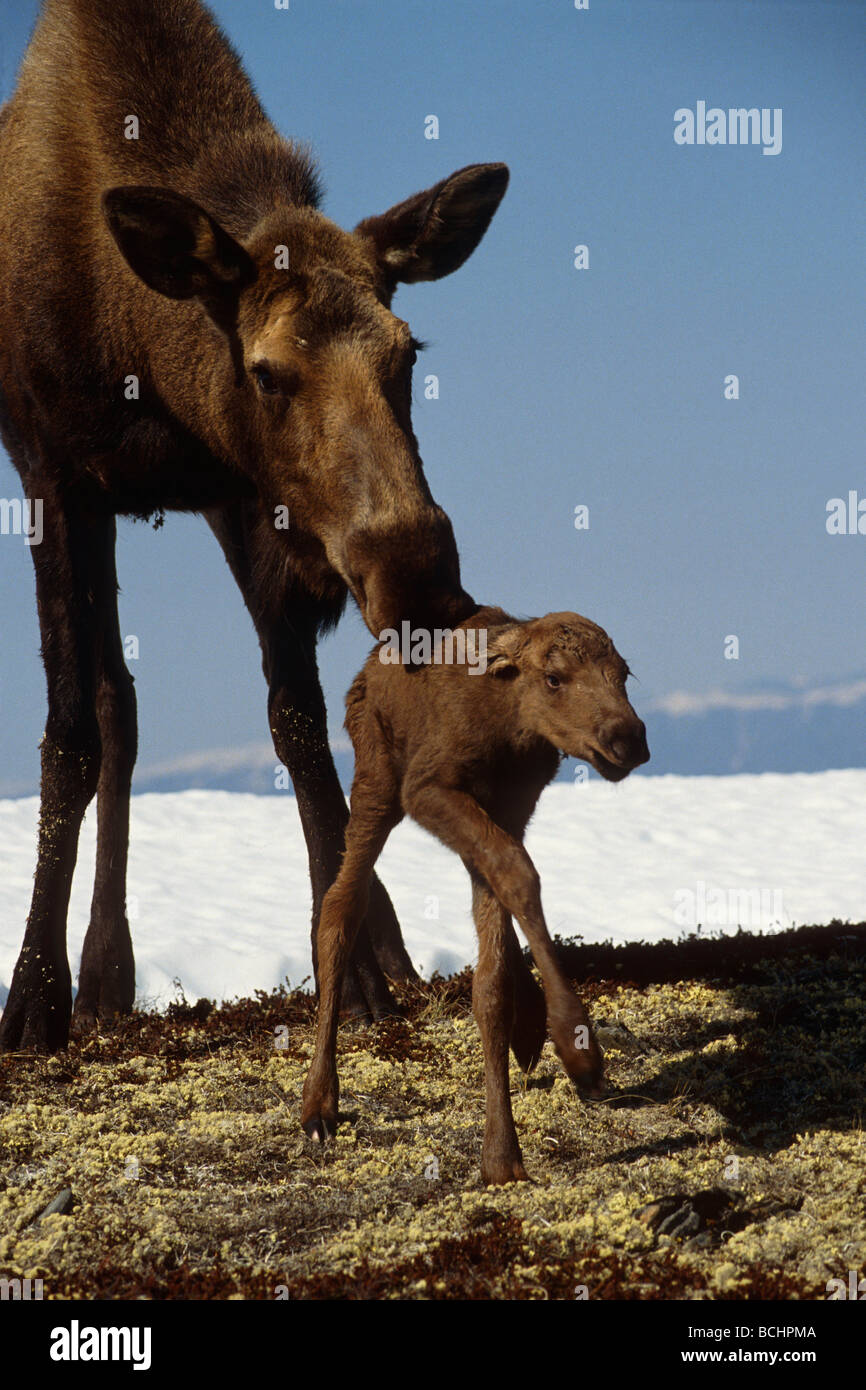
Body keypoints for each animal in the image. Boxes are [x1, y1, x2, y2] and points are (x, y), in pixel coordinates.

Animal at [0, 0, 509, 1051]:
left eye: (409, 353)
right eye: (267, 372)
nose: (417, 576)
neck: (143, 356)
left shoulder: (246, 498)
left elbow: (298, 724)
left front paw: (356, 973)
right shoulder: (54, 477)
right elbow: (66, 737)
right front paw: (31, 995)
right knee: (113, 703)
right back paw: (98, 978)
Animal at [301, 607, 650, 1184]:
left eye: (623, 673)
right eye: (553, 678)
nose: (628, 738)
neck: (509, 729)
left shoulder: (512, 807)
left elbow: (490, 980)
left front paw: (501, 1154)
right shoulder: (427, 788)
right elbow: (521, 875)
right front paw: (578, 1050)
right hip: (377, 779)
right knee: (338, 908)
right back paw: (318, 1104)